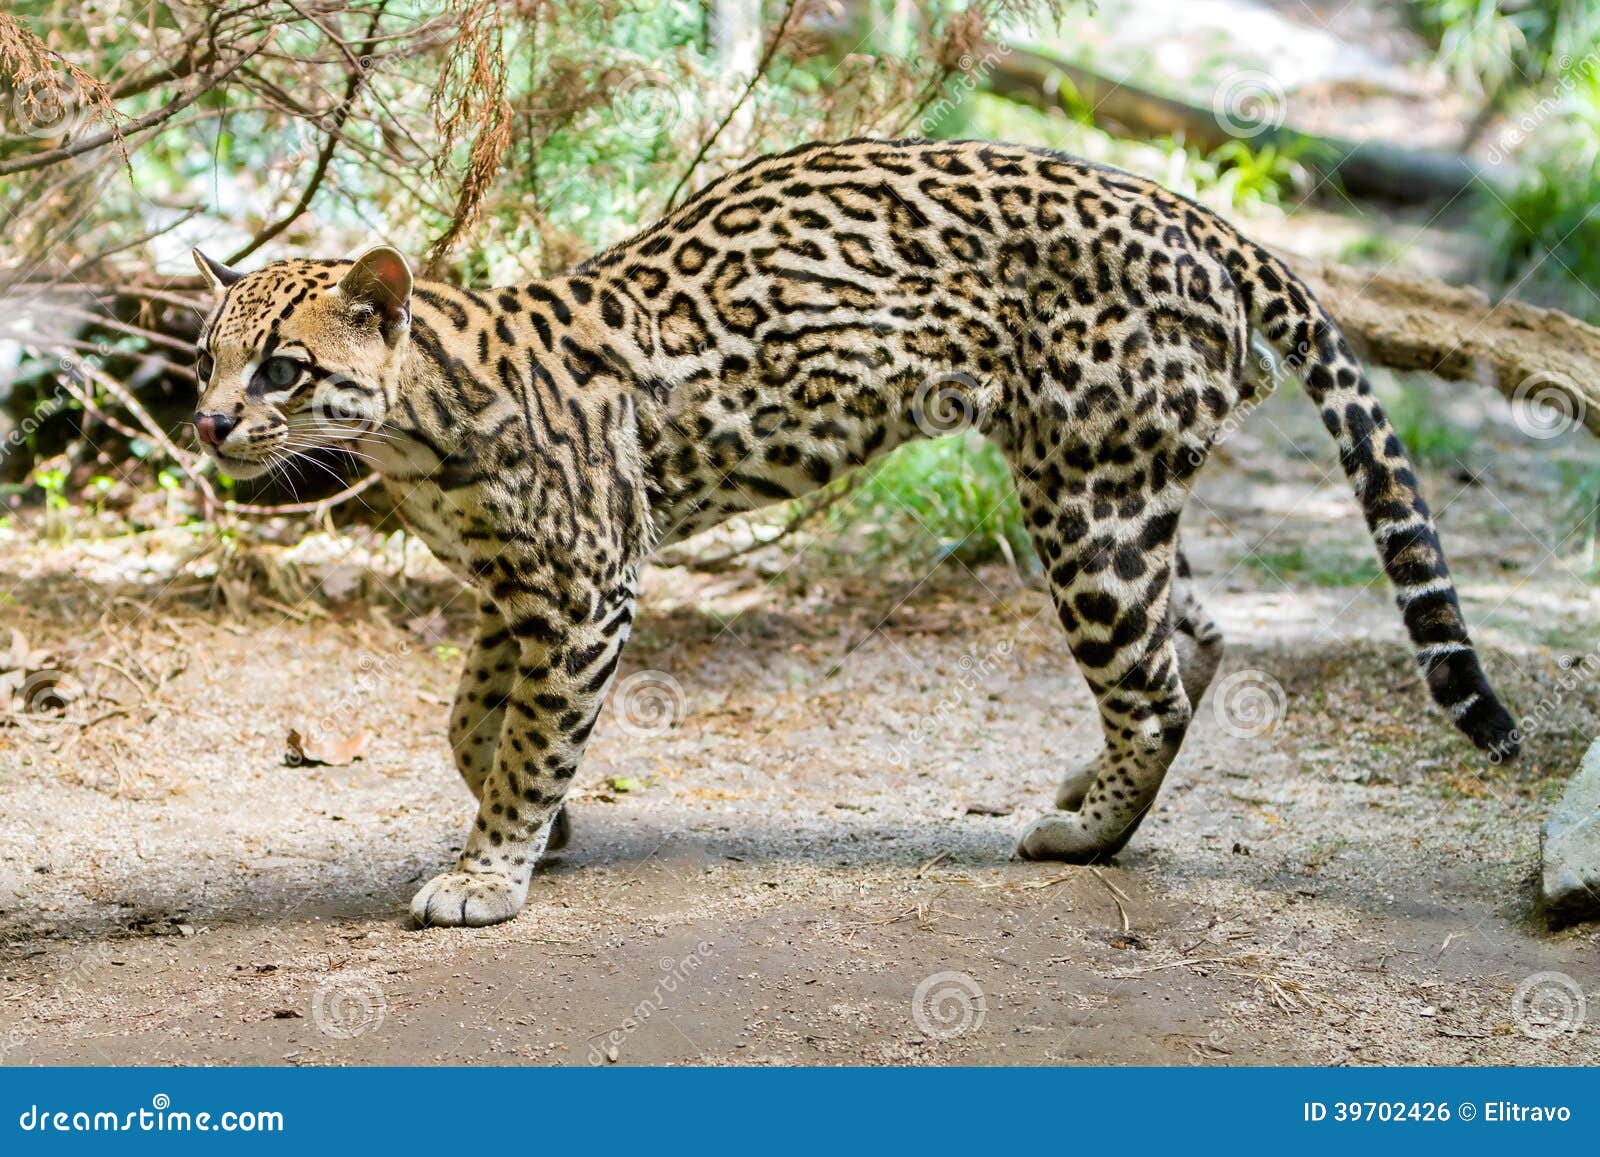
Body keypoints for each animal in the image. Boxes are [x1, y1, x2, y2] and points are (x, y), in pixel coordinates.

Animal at [189, 137, 1518, 928]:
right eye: (206, 355)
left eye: (284, 366)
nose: (205, 420)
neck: (414, 431)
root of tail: (1193, 213)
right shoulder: (518, 592)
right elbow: (474, 725)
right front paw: (536, 830)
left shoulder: (584, 586)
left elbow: (525, 740)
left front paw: (490, 870)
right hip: (1110, 485)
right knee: (1195, 638)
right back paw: (1089, 785)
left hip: (1084, 505)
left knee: (1152, 688)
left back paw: (1082, 832)